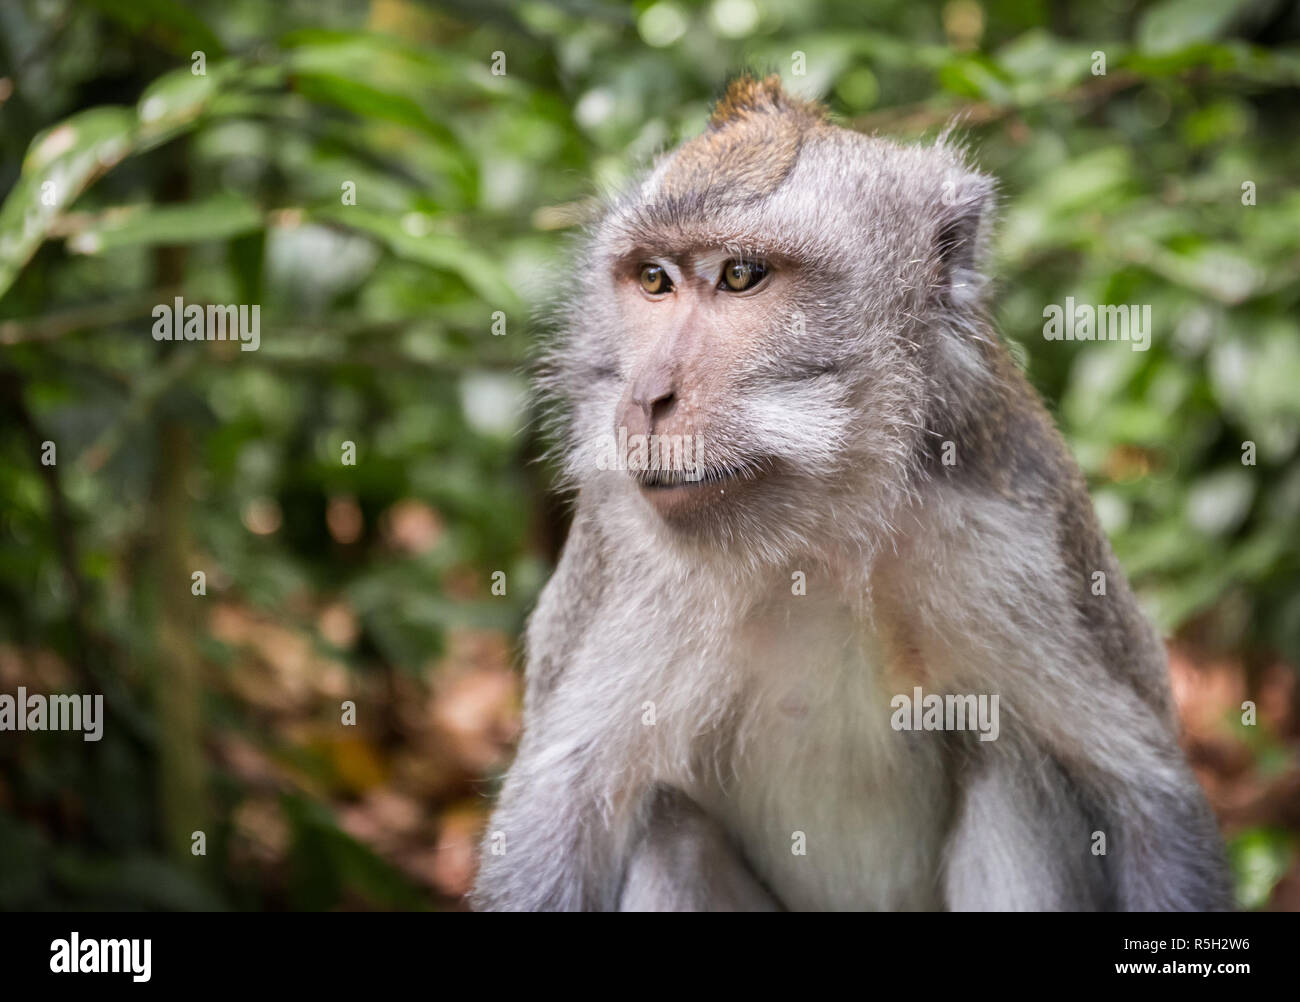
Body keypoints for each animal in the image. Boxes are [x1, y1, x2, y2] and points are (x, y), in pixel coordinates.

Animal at [471, 75, 1232, 912]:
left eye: (741, 276)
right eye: (653, 280)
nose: (647, 398)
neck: (822, 532)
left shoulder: (1023, 537)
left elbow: (1146, 796)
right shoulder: (626, 559)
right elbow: (555, 824)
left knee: (1014, 766)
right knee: (673, 833)